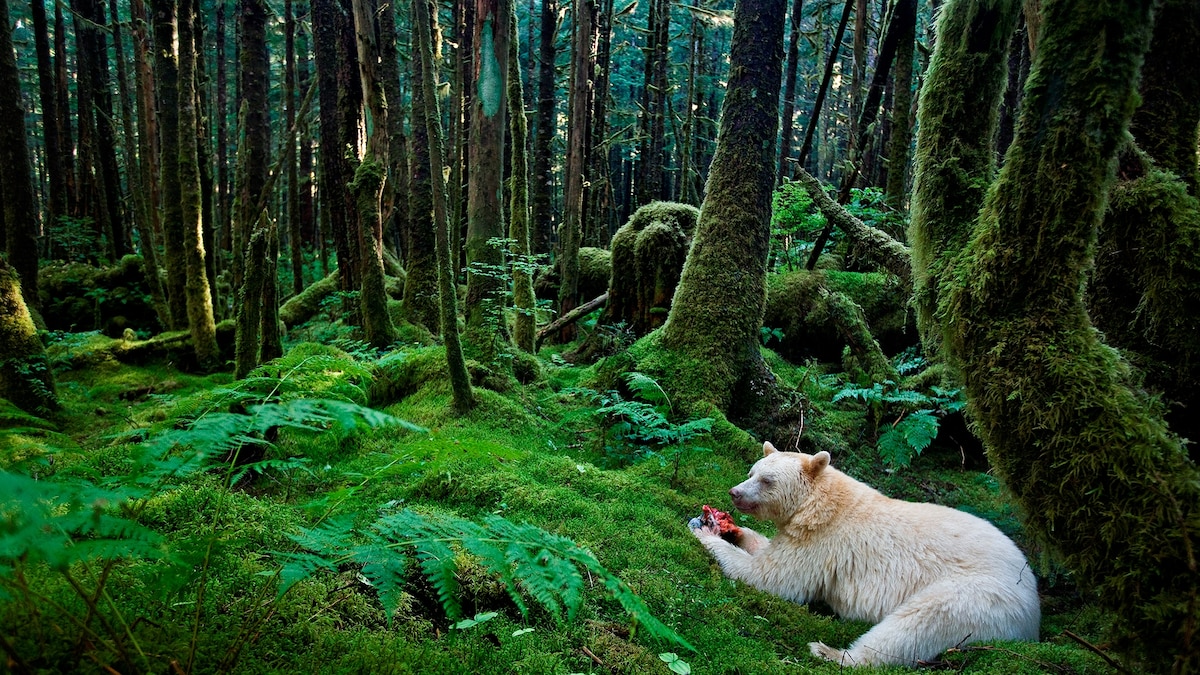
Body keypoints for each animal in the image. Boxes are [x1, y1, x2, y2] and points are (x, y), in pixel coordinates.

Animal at [690, 442, 1040, 667]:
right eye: (752, 471)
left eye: (766, 480)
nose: (735, 492)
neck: (820, 503)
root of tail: (1034, 608)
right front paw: (732, 529)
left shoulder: (824, 542)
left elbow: (774, 578)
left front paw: (705, 532)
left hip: (980, 597)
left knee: (919, 623)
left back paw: (831, 653)